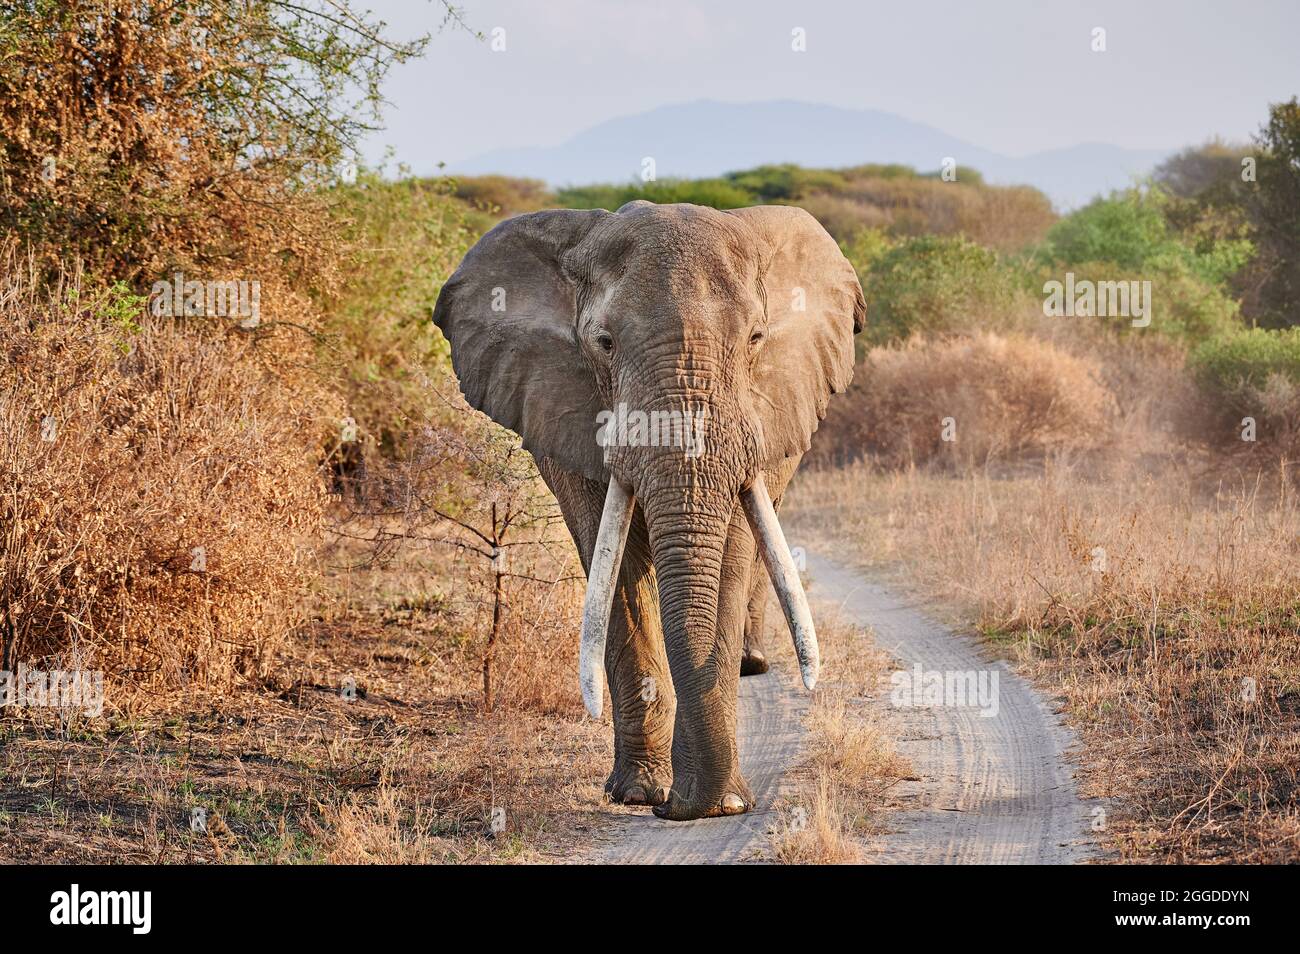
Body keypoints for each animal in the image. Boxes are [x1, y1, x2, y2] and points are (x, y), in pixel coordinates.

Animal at [433, 201, 865, 821]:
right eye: (604, 343)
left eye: (755, 338)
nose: (678, 809)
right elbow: (612, 563)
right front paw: (641, 794)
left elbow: (731, 553)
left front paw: (719, 804)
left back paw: (751, 665)